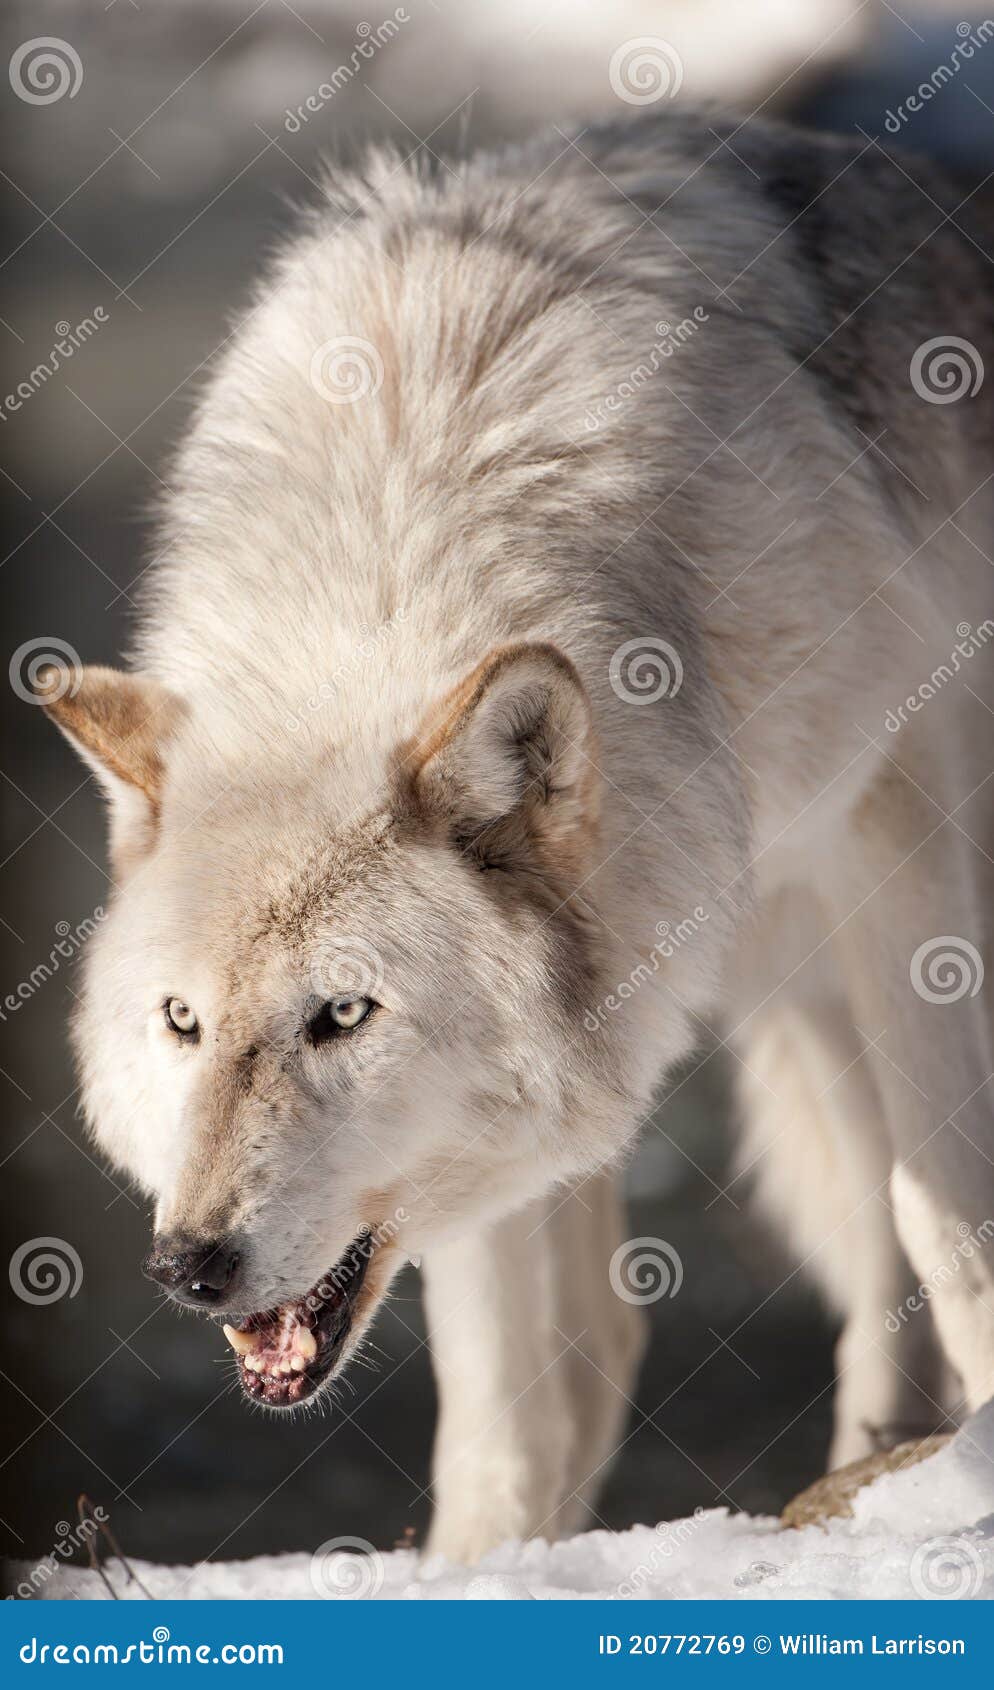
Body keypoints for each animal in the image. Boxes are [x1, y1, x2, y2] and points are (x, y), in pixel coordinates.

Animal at [38, 109, 994, 1563]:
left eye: (343, 1014)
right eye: (181, 1023)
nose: (189, 1266)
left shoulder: (895, 808)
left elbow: (947, 1215)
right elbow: (511, 1401)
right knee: (619, 1334)